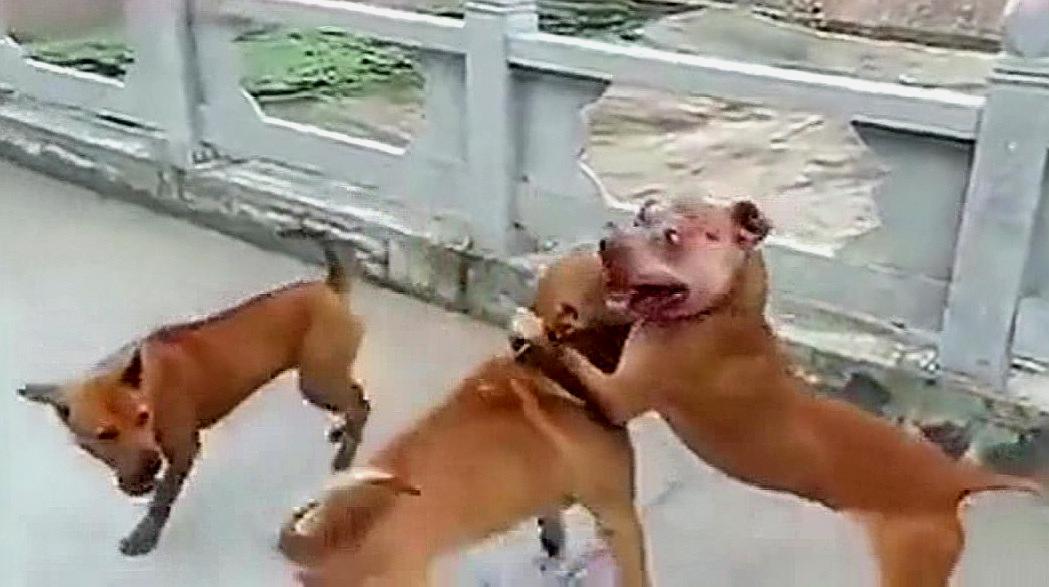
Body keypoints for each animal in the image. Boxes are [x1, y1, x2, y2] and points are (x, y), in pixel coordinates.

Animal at [17, 232, 370, 556]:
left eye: (143, 416)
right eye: (105, 434)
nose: (151, 465)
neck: (147, 383)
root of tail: (329, 288)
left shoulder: (183, 449)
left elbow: (162, 500)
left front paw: (145, 534)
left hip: (316, 381)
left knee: (359, 405)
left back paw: (345, 452)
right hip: (325, 377)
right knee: (357, 397)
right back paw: (342, 432)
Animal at [514, 198, 1043, 587]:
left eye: (672, 236)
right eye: (643, 215)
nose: (606, 242)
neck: (723, 311)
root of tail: (955, 481)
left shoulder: (618, 395)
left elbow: (571, 358)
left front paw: (536, 329)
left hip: (914, 563)